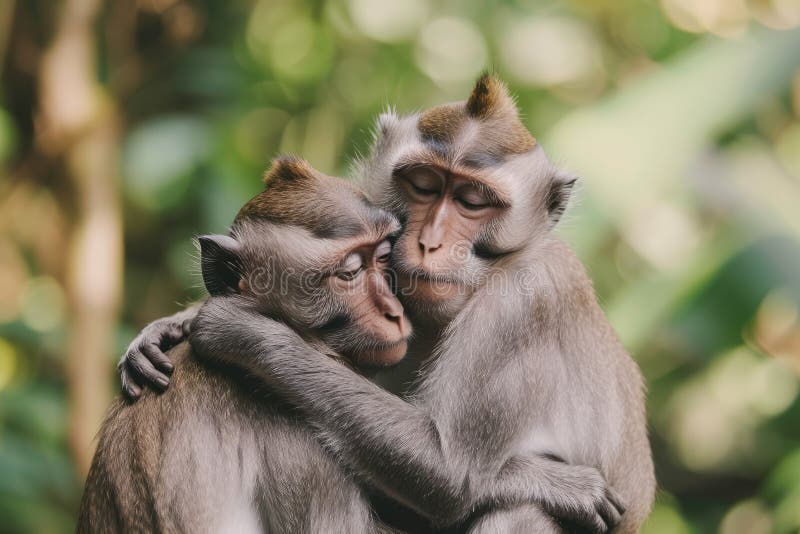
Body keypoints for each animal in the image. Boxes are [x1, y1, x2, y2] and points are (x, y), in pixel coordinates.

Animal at [119, 76, 653, 532]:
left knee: (522, 512)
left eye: (473, 201)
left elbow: (450, 475)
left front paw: (241, 330)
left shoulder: (522, 301)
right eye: (424, 185)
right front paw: (168, 327)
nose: (430, 243)